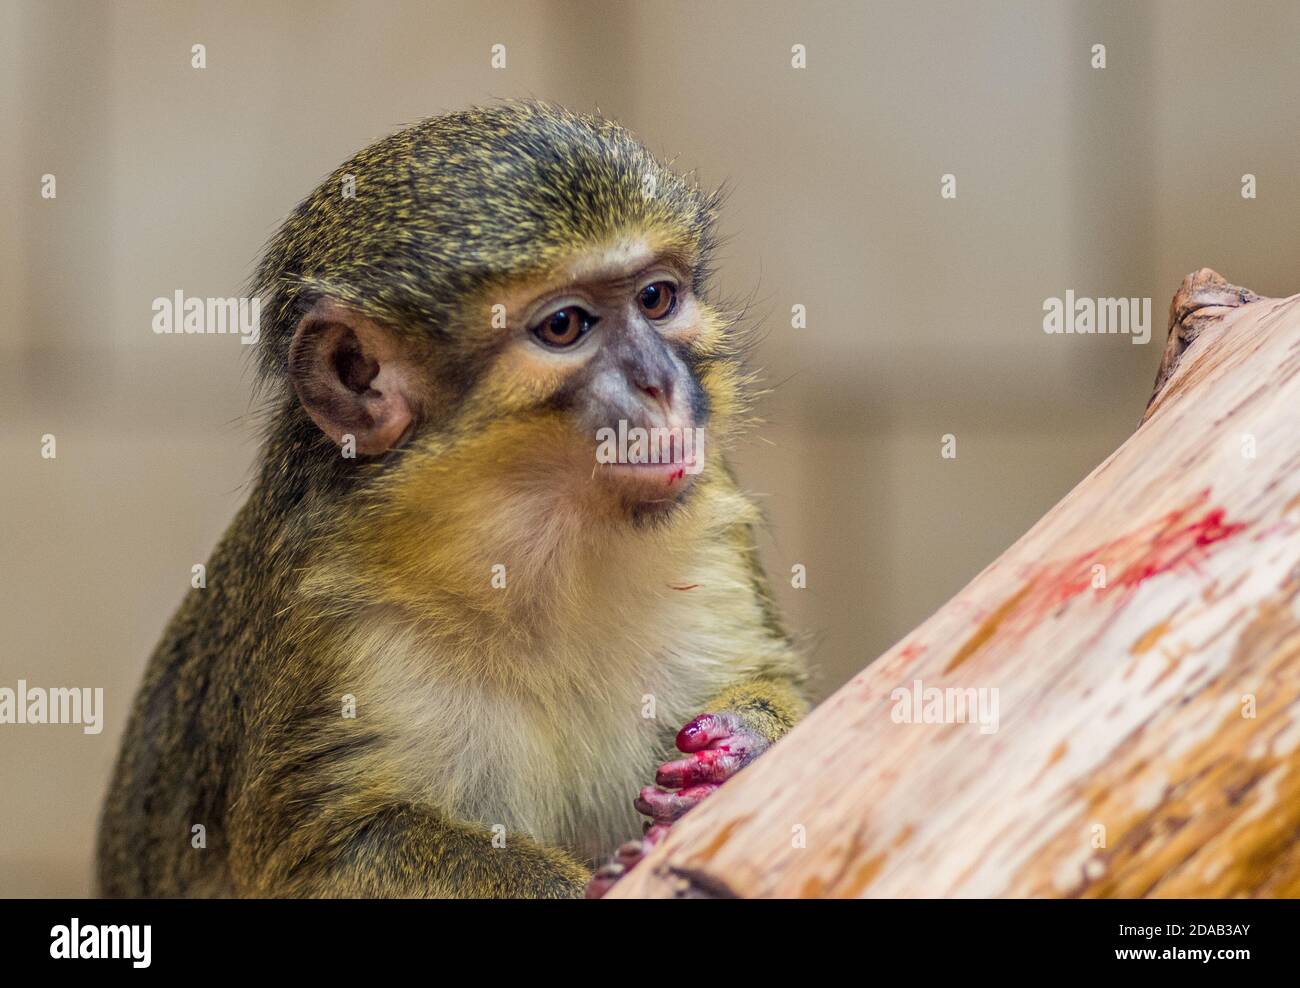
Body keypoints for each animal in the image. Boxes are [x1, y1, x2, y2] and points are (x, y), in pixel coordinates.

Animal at [96, 100, 807, 898]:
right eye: (564, 326)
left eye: (656, 299)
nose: (660, 382)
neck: (541, 558)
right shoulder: (329, 619)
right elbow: (330, 855)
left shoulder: (711, 522)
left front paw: (737, 749)